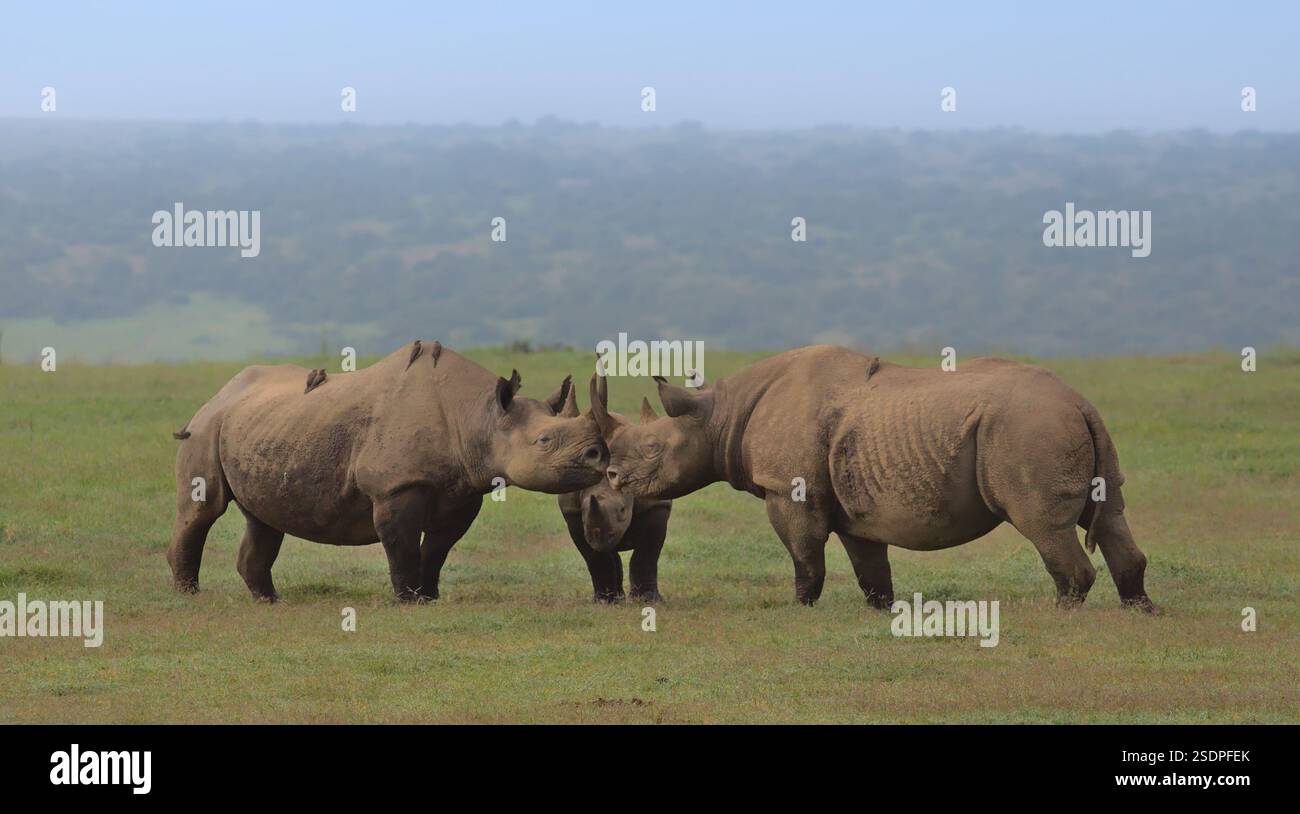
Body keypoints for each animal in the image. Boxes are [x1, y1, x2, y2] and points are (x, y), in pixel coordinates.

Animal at [168, 340, 608, 601]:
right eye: (545, 442)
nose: (599, 454)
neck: (479, 414)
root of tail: (220, 393)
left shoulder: (464, 490)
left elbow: (437, 548)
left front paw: (429, 597)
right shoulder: (396, 487)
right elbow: (402, 544)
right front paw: (406, 599)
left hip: (262, 426)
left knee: (263, 519)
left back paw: (269, 601)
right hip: (206, 426)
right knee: (204, 509)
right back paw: (189, 595)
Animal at [555, 364, 672, 603]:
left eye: (622, 509)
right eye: (583, 509)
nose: (601, 537)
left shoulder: (658, 505)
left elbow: (646, 554)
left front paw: (647, 600)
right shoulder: (572, 513)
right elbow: (596, 558)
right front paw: (605, 601)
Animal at [593, 345, 1154, 612]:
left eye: (652, 449)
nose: (613, 476)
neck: (718, 415)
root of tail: (1080, 402)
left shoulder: (788, 488)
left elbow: (804, 553)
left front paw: (799, 607)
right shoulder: (853, 506)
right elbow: (869, 567)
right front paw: (883, 609)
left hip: (1028, 430)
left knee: (1042, 525)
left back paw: (1061, 611)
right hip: (1062, 426)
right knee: (1111, 516)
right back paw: (1140, 610)